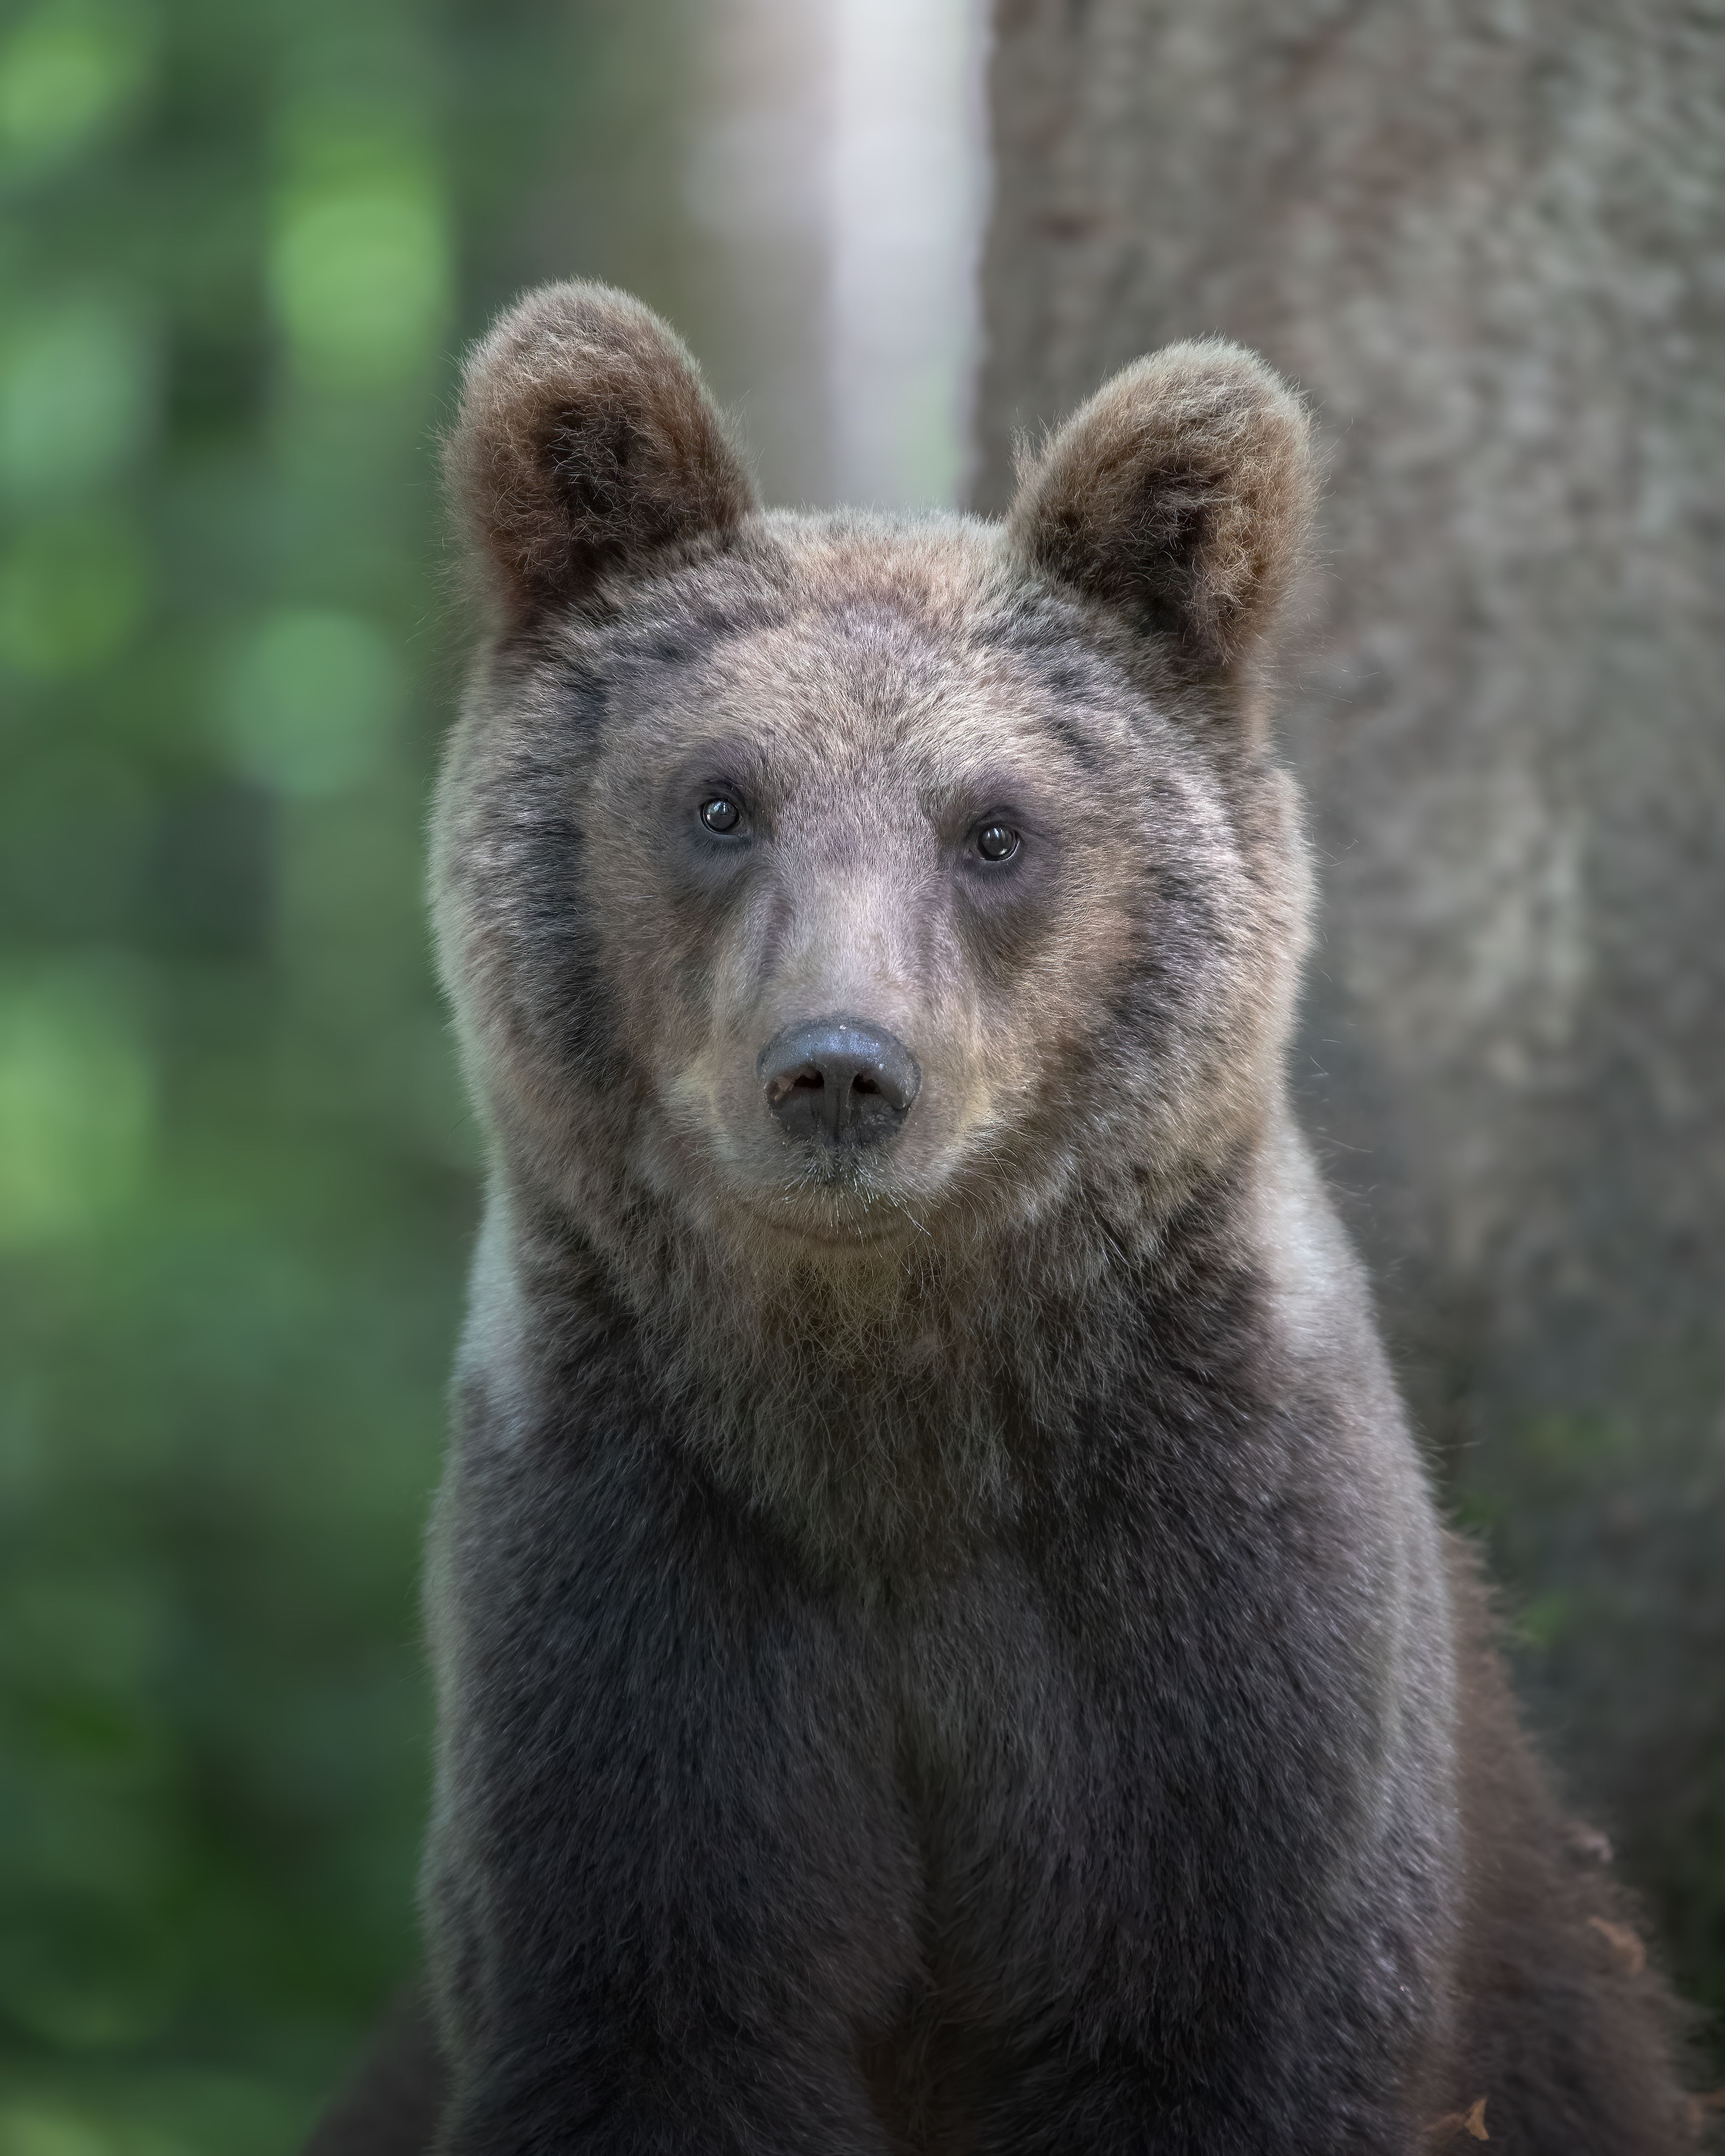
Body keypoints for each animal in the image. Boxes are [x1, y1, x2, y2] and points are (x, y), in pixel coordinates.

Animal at [305, 282, 1702, 2154]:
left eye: (993, 827)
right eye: (719, 798)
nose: (838, 1071)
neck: (895, 1417)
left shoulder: (1212, 1637)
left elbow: (1230, 2015)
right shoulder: (635, 1611)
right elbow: (657, 2011)